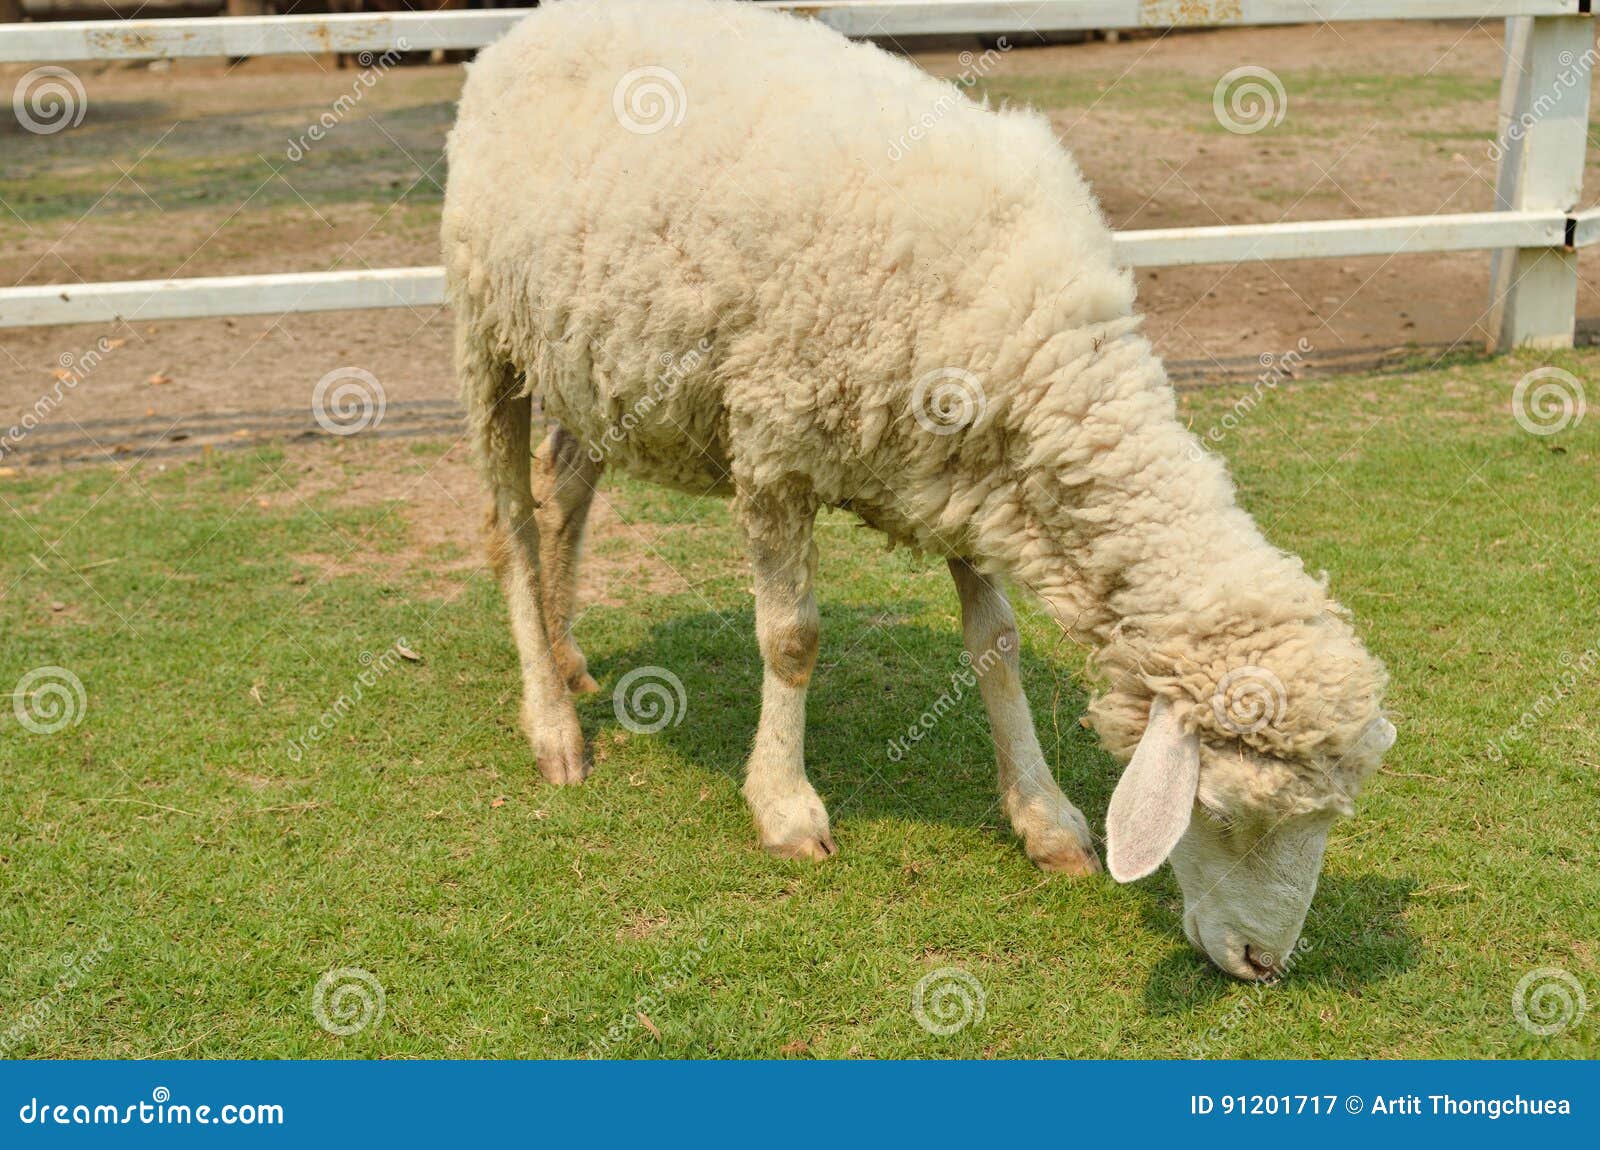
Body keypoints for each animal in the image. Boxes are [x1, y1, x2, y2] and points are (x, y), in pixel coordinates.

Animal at [441, 0, 1397, 979]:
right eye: (1223, 812)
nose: (1263, 963)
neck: (1039, 339)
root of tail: (539, 24)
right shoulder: (774, 443)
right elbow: (792, 640)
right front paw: (785, 806)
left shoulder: (975, 478)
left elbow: (998, 645)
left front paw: (1045, 818)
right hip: (487, 329)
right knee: (511, 523)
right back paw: (551, 721)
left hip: (593, 362)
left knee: (565, 494)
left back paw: (567, 654)